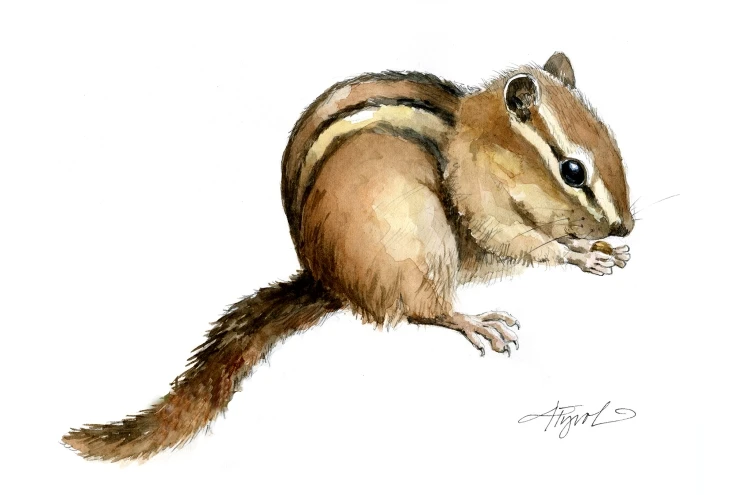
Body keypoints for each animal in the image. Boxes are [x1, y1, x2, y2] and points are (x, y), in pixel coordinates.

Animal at [63, 52, 633, 461]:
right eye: (573, 170)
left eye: (612, 142)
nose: (625, 225)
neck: (488, 145)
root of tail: (327, 280)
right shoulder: (481, 206)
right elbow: (524, 242)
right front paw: (583, 256)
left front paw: (603, 247)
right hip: (419, 245)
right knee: (424, 310)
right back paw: (474, 321)